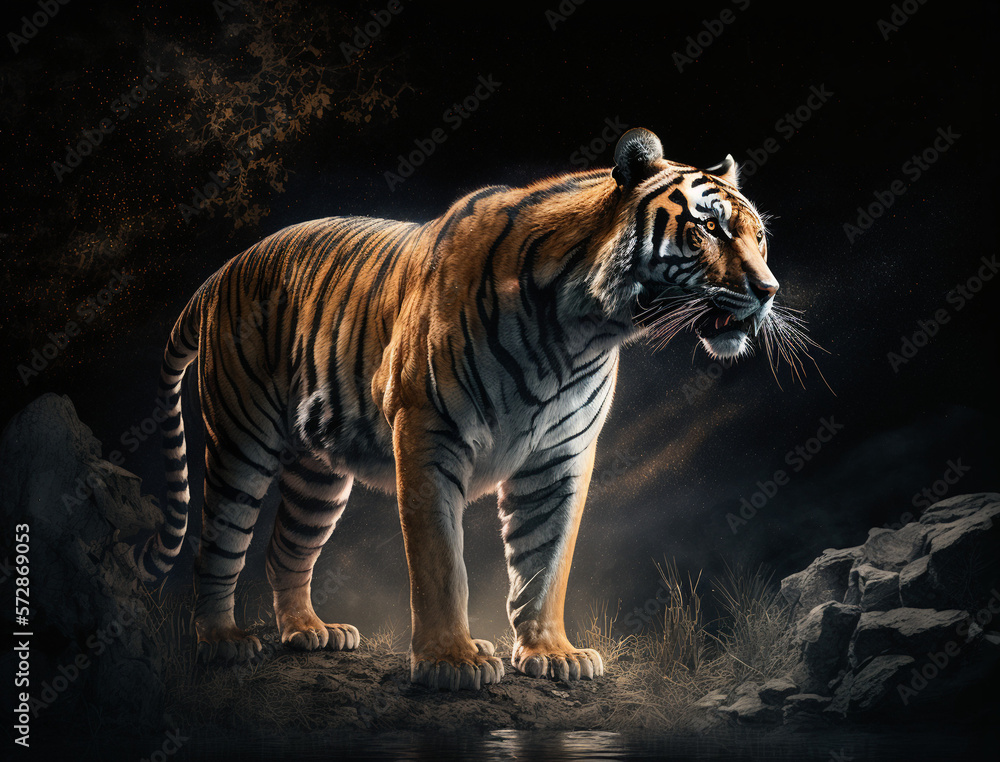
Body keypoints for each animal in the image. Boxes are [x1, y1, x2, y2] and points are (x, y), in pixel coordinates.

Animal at [137, 127, 785, 690]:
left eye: (759, 238)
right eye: (708, 229)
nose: (768, 290)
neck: (587, 328)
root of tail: (226, 268)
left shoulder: (561, 453)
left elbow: (547, 559)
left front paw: (553, 654)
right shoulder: (429, 434)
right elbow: (441, 562)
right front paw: (451, 662)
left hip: (317, 476)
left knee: (285, 549)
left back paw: (311, 630)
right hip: (241, 443)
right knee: (218, 544)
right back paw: (223, 641)